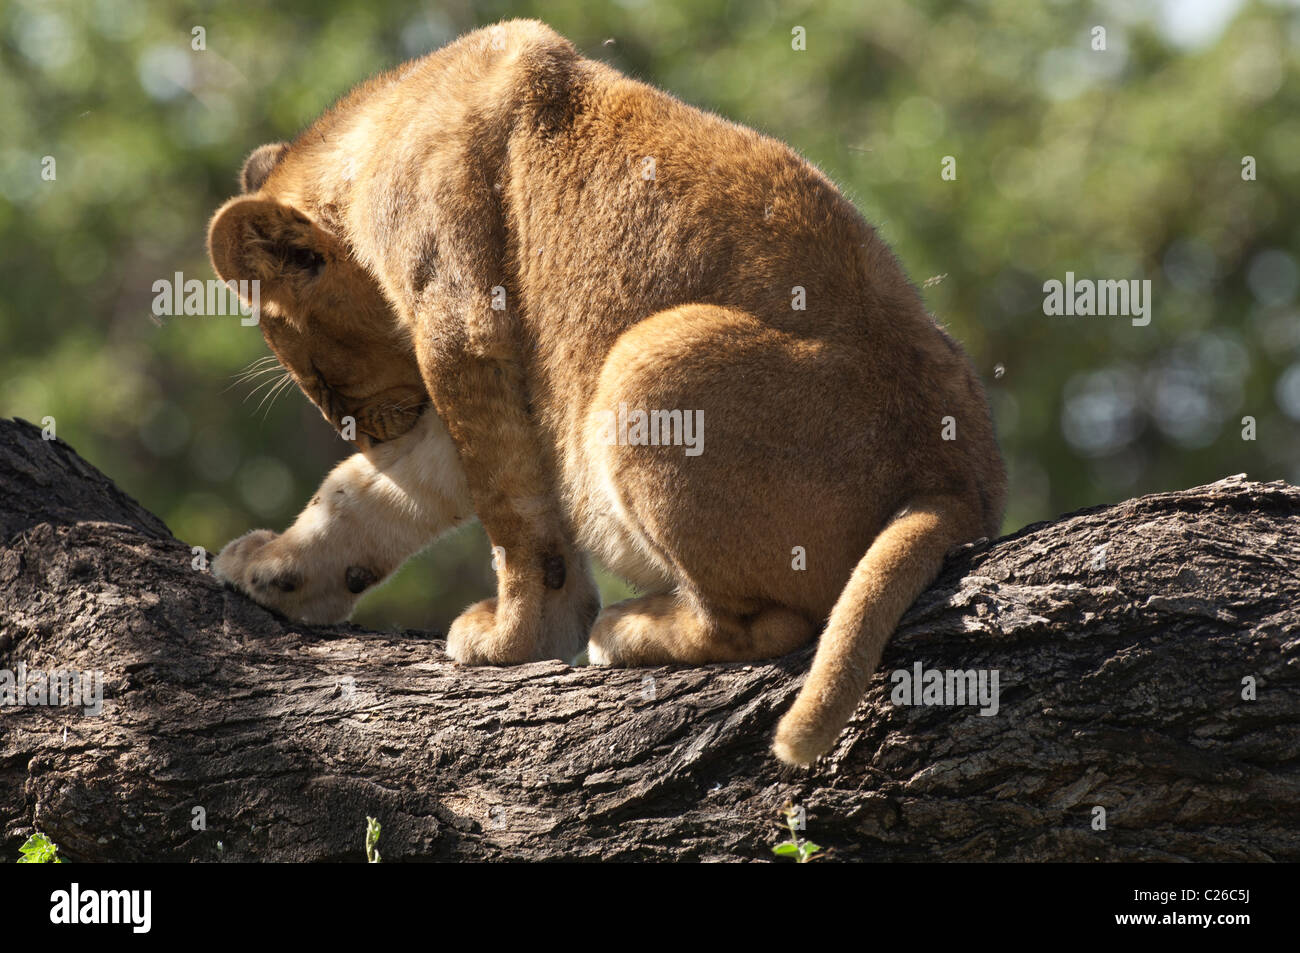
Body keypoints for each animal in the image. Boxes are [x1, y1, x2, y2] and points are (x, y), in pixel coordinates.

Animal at [207, 19, 1006, 766]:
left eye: (316, 370)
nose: (361, 429)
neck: (380, 123)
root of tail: (962, 480)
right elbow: (370, 490)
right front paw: (275, 566)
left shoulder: (462, 329)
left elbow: (514, 519)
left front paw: (520, 636)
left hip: (648, 360)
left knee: (780, 622)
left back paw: (628, 628)